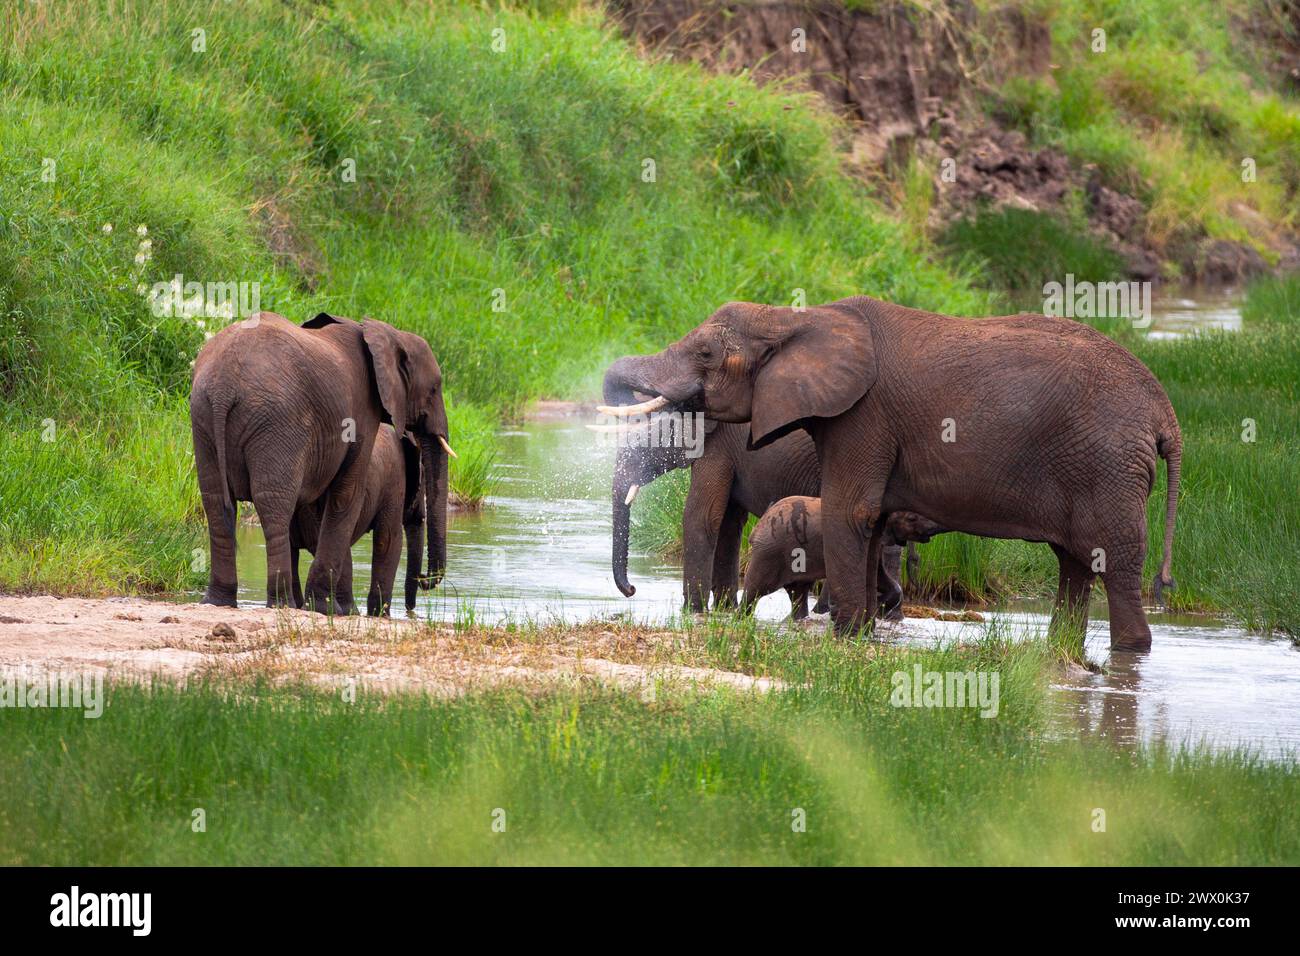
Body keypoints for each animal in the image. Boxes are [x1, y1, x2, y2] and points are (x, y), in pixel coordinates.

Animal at [593, 403, 905, 616]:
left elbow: (701, 517)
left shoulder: (717, 447)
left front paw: (693, 612)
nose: (632, 590)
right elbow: (728, 525)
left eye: (648, 439)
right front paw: (723, 609)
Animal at [741, 496, 946, 621]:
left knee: (798, 592)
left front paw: (879, 606)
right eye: (911, 518)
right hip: (769, 552)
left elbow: (882, 578)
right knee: (755, 589)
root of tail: (758, 525)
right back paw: (742, 617)